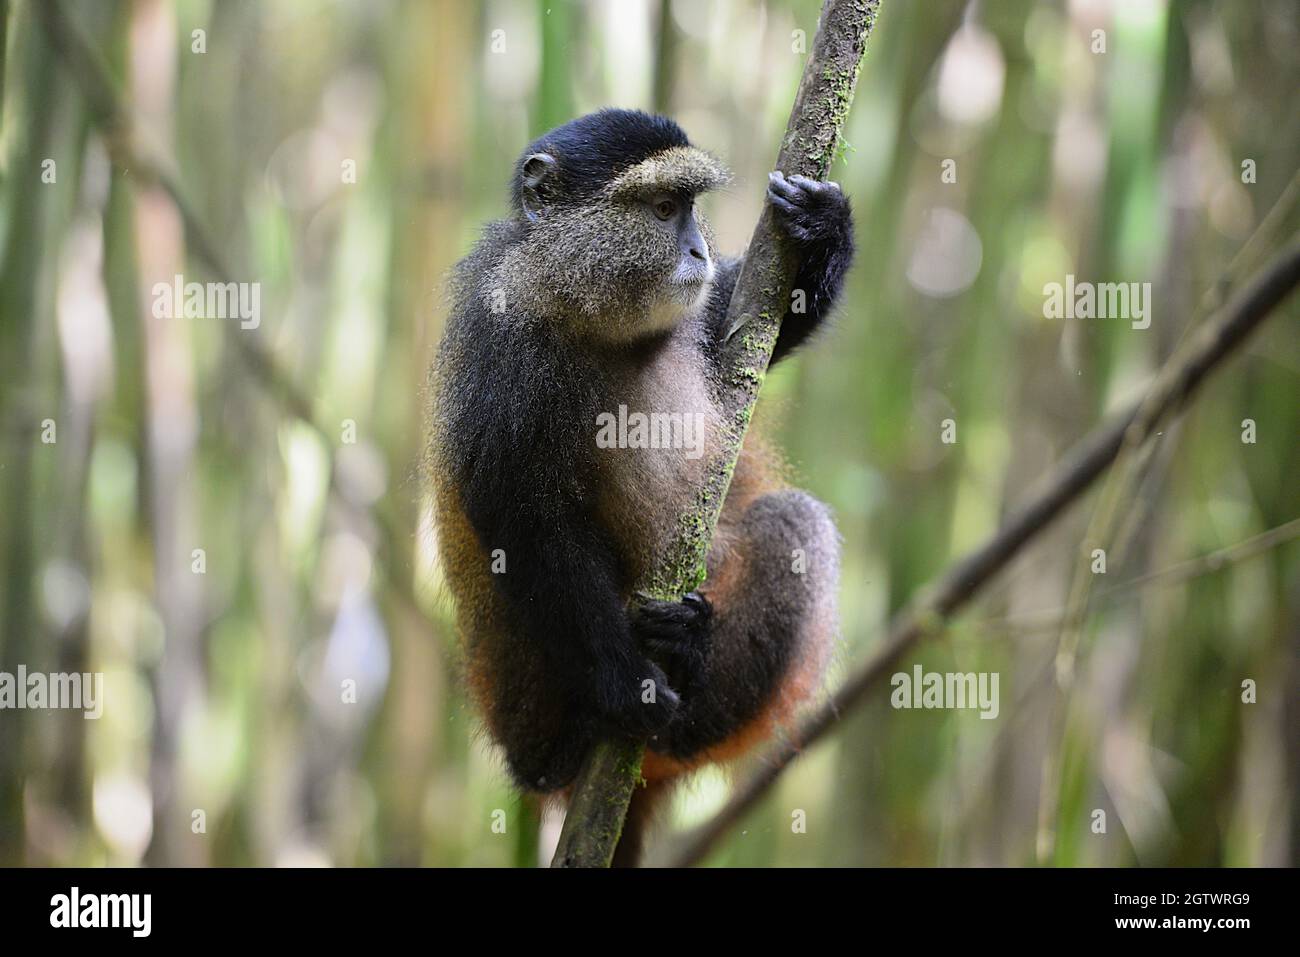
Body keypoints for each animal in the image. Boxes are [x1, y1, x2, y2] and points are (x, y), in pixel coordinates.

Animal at [428, 109, 854, 865]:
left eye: (689, 208)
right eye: (660, 208)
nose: (697, 251)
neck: (570, 299)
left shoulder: (701, 316)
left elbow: (757, 324)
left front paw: (824, 223)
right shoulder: (499, 351)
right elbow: (521, 522)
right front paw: (629, 685)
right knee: (793, 524)